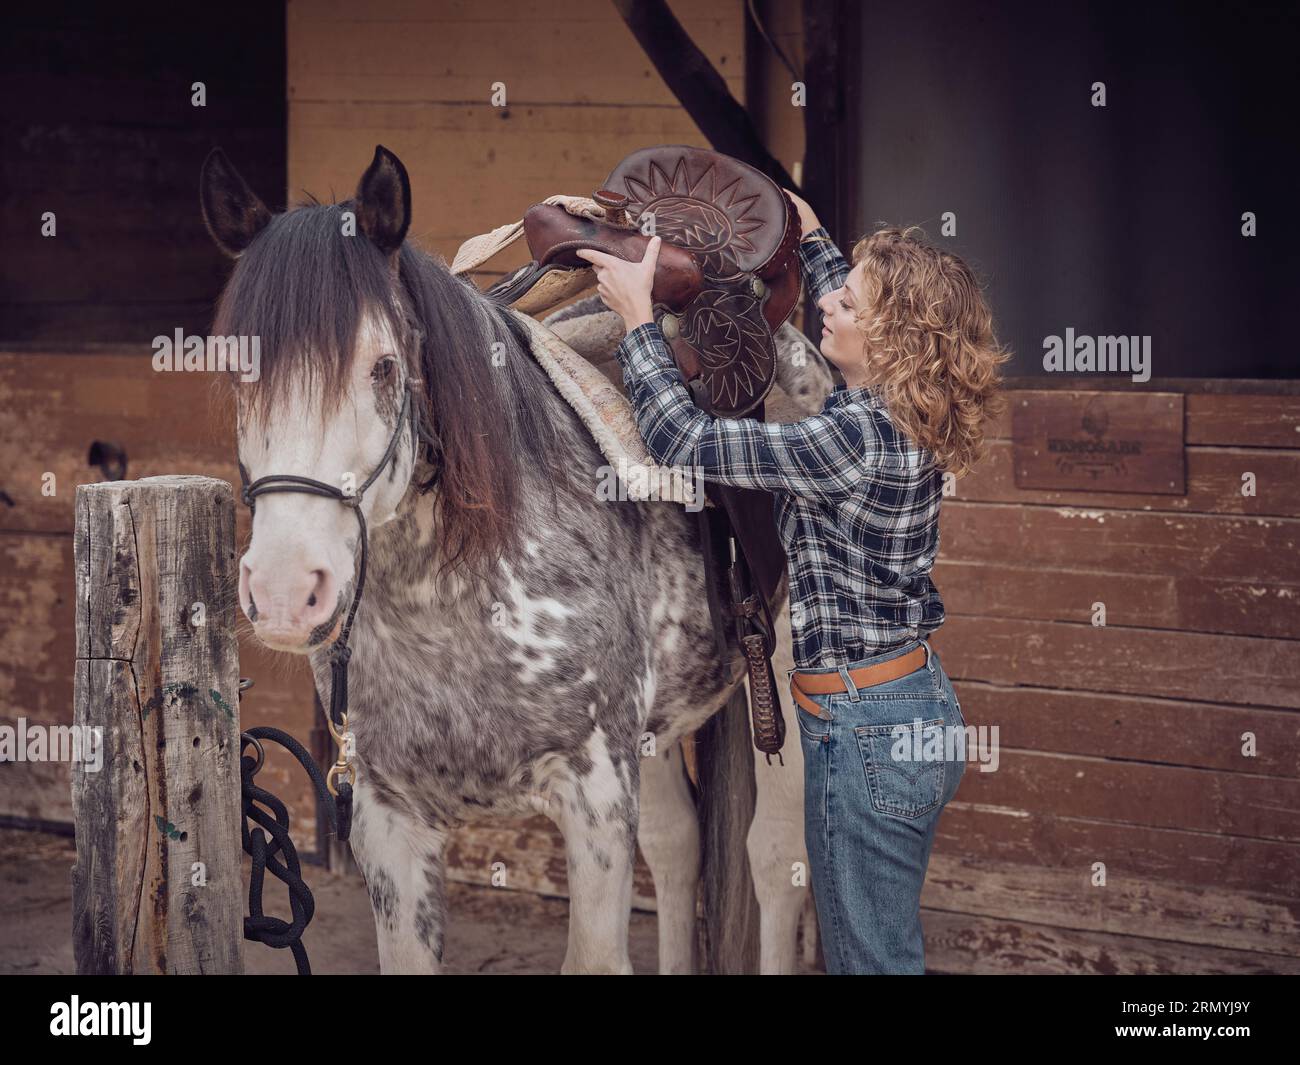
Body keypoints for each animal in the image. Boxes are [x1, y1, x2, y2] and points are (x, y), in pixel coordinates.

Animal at [201, 144, 828, 973]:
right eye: (238, 371)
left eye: (383, 367)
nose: (282, 591)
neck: (448, 604)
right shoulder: (389, 823)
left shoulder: (595, 800)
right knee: (677, 845)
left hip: (786, 677)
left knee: (776, 856)